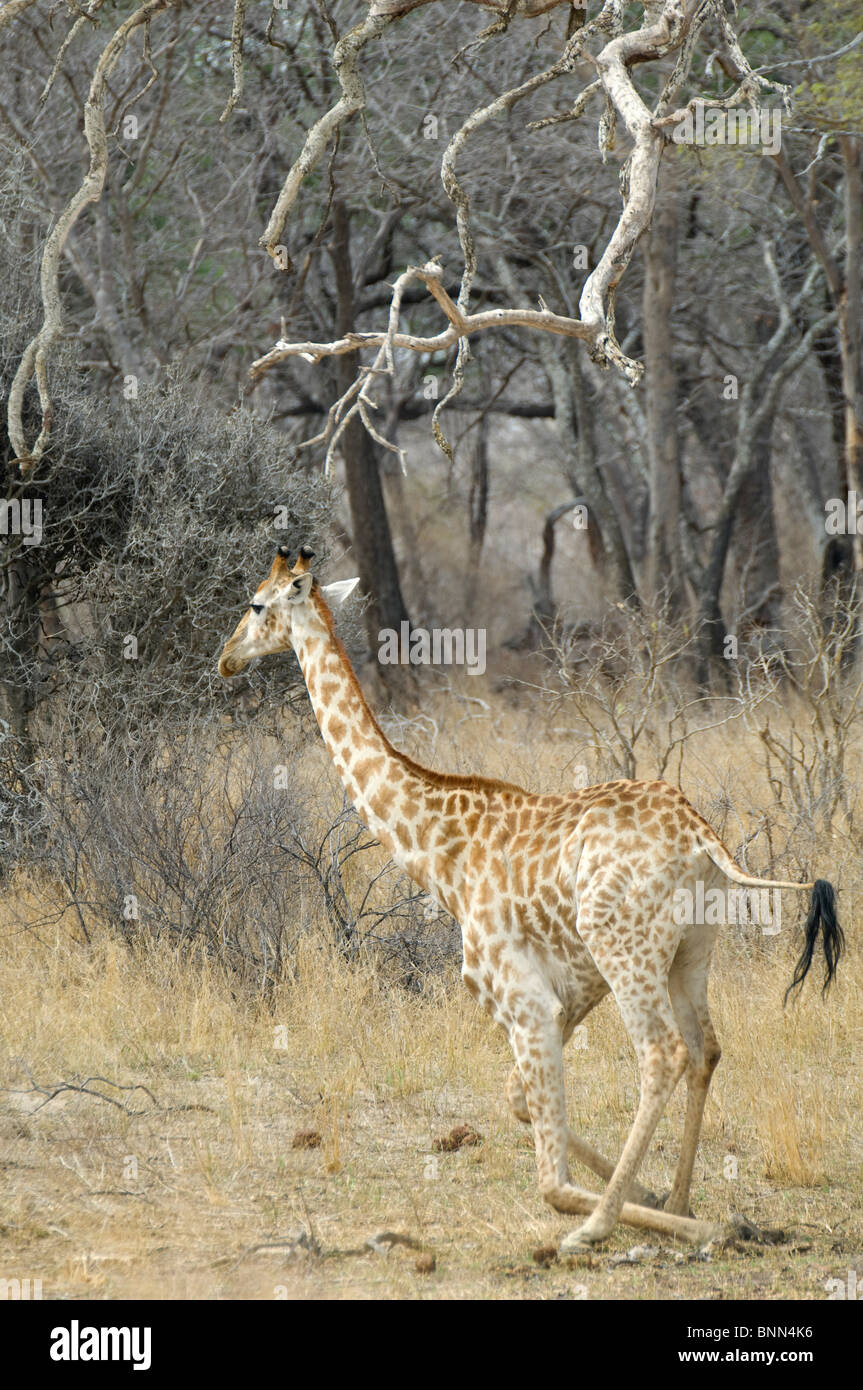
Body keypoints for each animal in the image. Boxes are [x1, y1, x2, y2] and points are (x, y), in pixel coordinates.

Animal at [218, 546, 844, 1248]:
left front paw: (637, 1213)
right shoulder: (567, 992)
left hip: (622, 946)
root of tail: (701, 835)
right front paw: (664, 1200)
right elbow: (517, 1100)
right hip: (690, 950)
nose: (226, 658)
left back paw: (606, 1226)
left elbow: (550, 1180)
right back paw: (684, 1201)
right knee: (706, 1049)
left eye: (255, 605)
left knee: (663, 1055)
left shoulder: (524, 997)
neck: (441, 853)